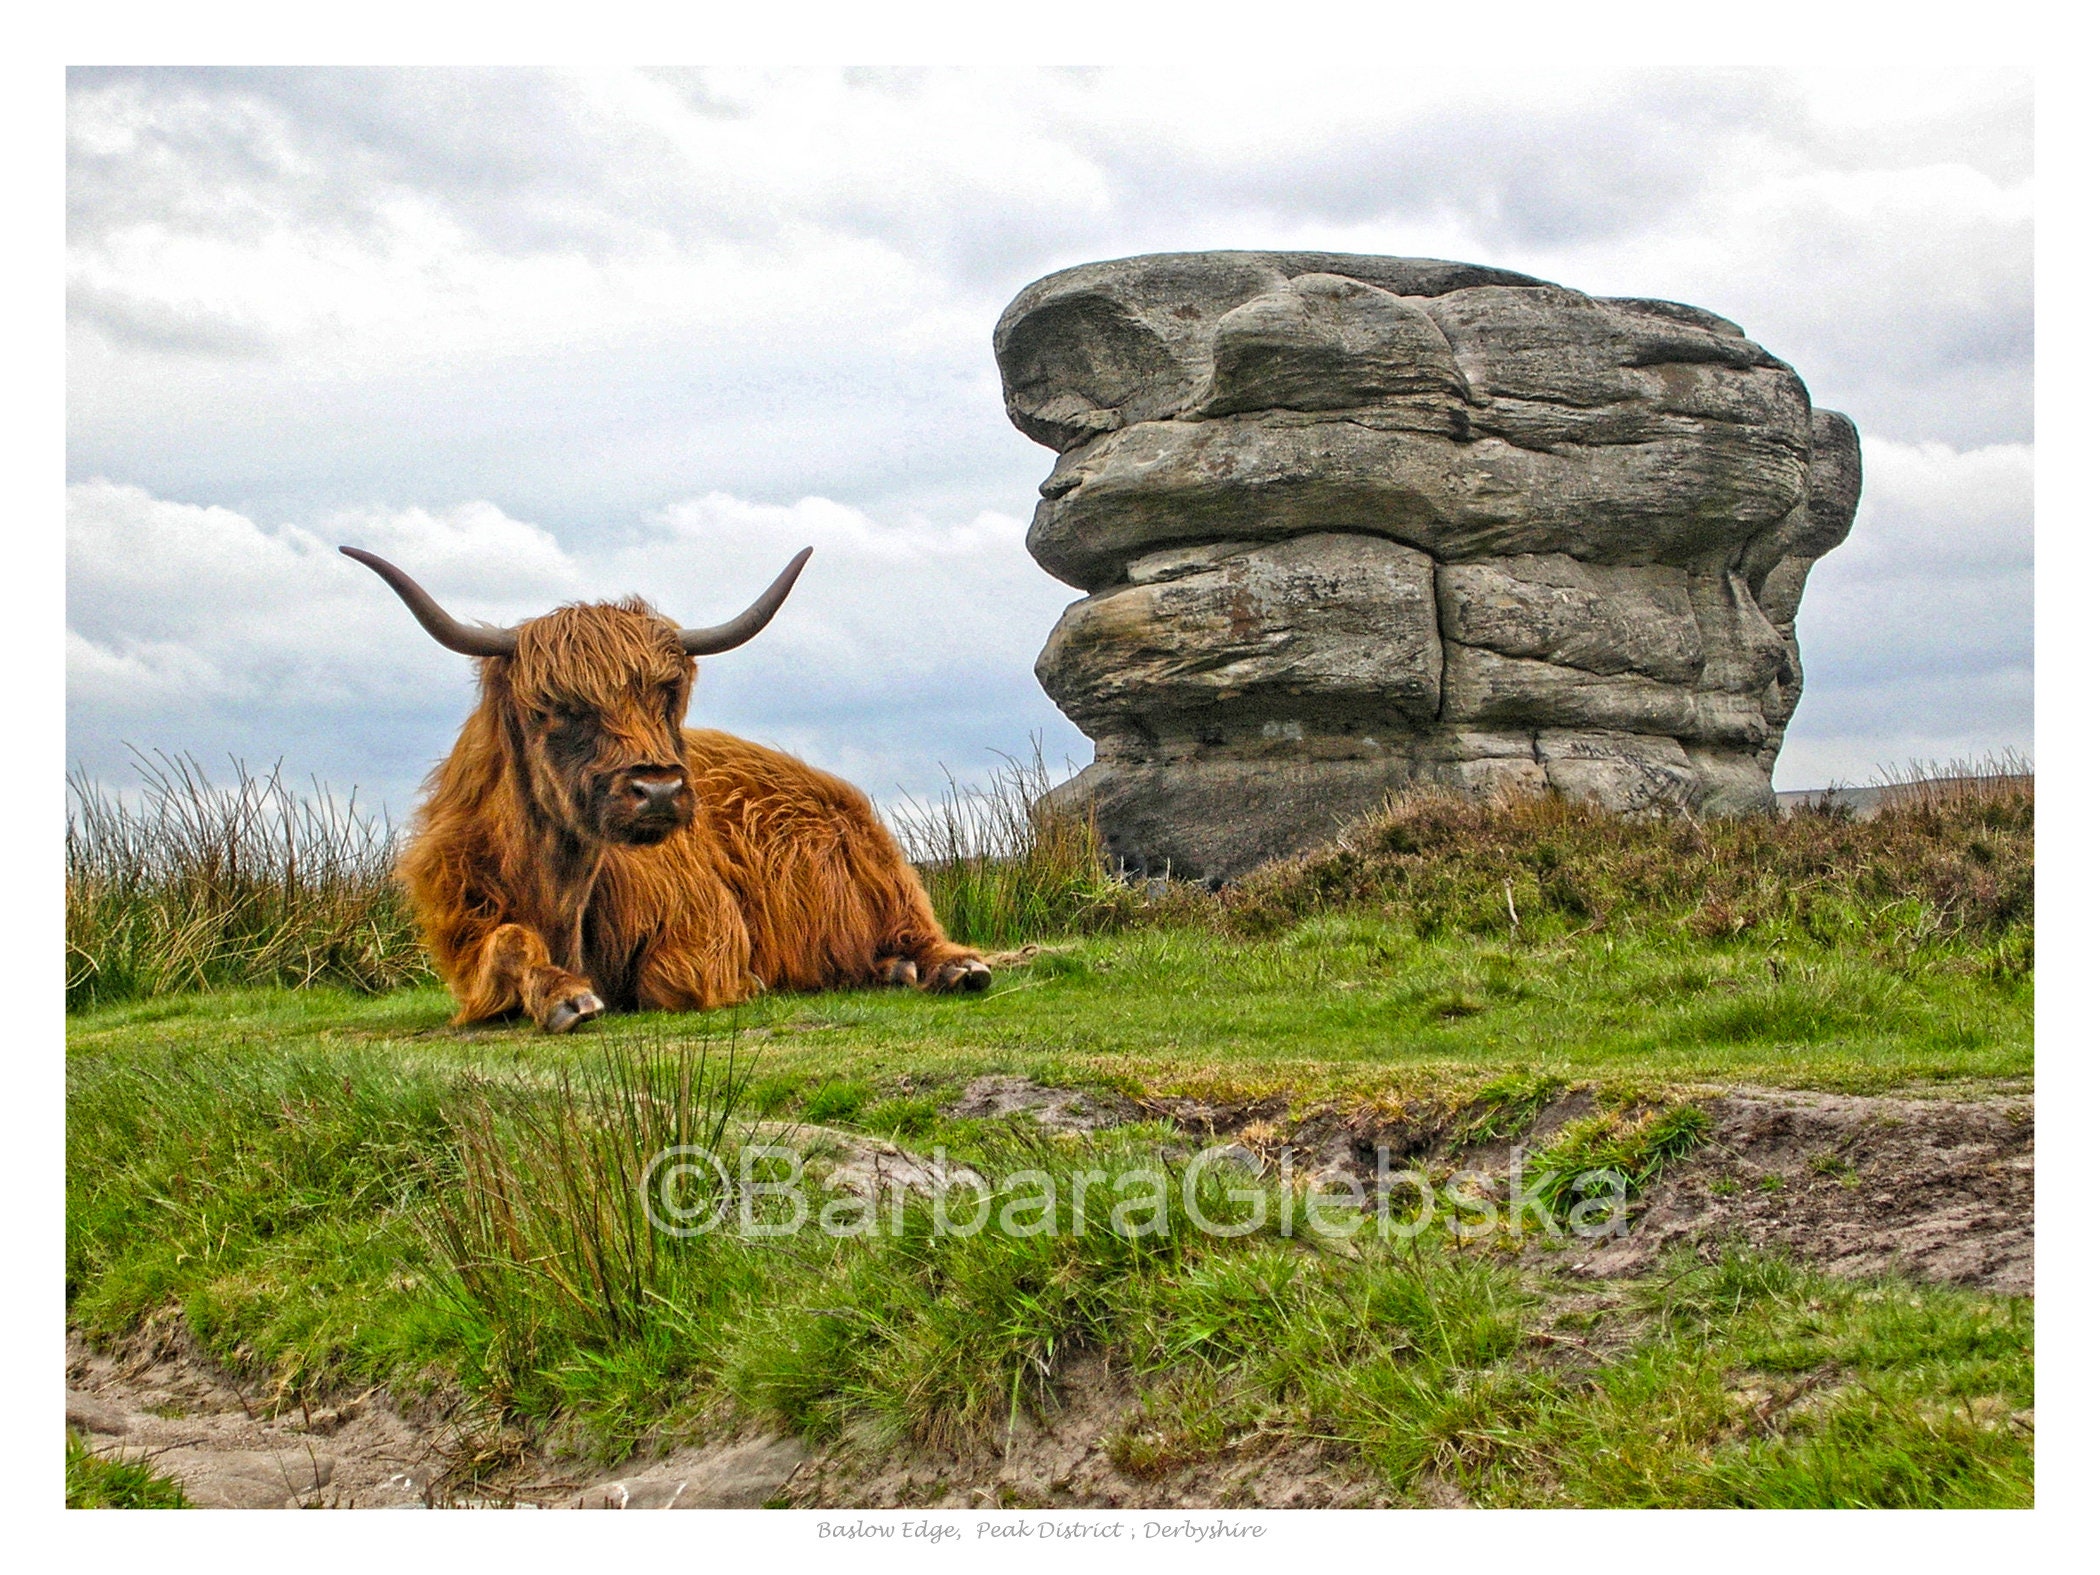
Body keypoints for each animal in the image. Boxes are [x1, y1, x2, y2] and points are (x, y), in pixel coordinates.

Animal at [341, 545, 991, 1032]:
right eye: (554, 707)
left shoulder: (705, 924)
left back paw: (953, 969)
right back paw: (895, 971)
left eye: (668, 693)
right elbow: (508, 943)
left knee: (919, 932)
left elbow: (672, 983)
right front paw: (564, 998)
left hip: (886, 879)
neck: (562, 893)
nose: (657, 790)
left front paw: (749, 981)